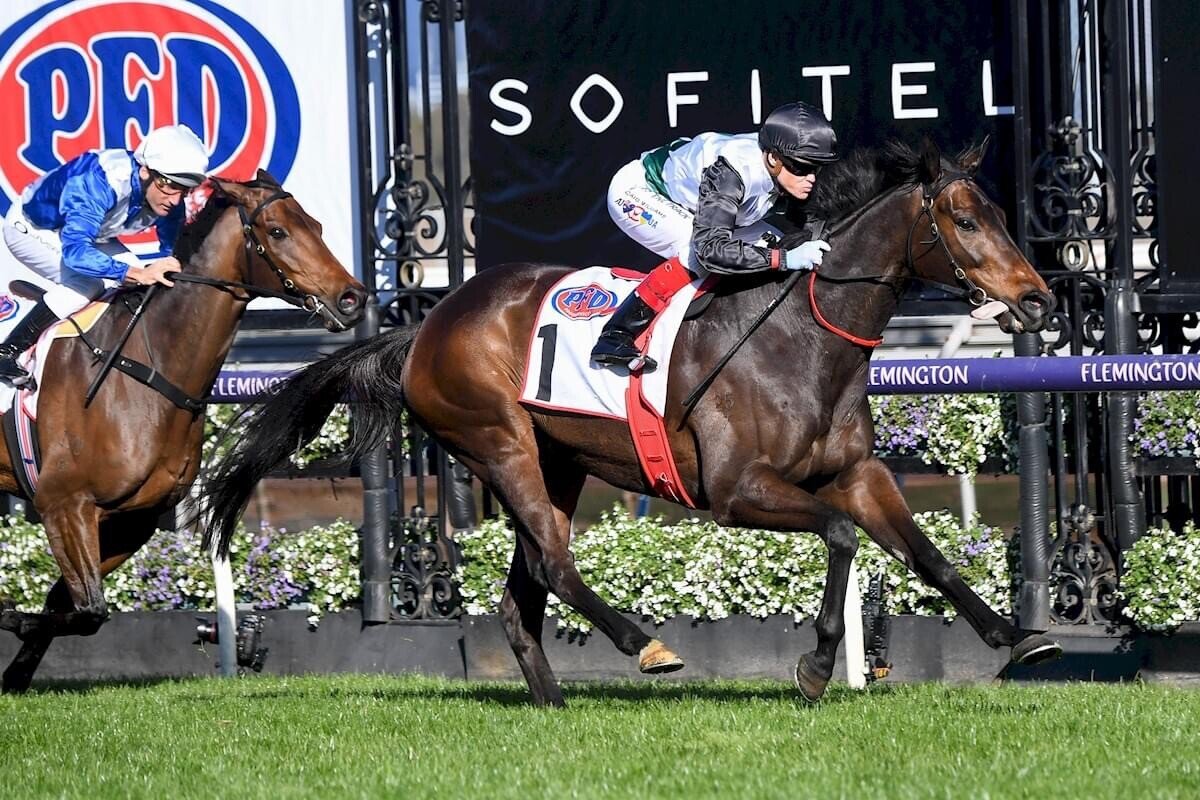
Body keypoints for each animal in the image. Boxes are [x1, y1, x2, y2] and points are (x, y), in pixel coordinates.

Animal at [0, 170, 367, 692]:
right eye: (277, 231)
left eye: (315, 225)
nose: (353, 298)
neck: (145, 367)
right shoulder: (62, 502)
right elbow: (90, 609)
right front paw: (11, 618)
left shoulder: (132, 519)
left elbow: (74, 606)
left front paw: (16, 671)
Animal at [202, 140, 1062, 706]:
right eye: (963, 220)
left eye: (997, 212)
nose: (1039, 300)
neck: (802, 337)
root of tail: (428, 323)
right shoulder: (738, 491)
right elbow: (844, 538)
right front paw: (816, 668)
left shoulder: (856, 473)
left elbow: (925, 554)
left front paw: (1020, 638)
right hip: (499, 445)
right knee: (554, 568)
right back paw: (645, 645)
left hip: (555, 464)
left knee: (523, 595)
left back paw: (553, 702)